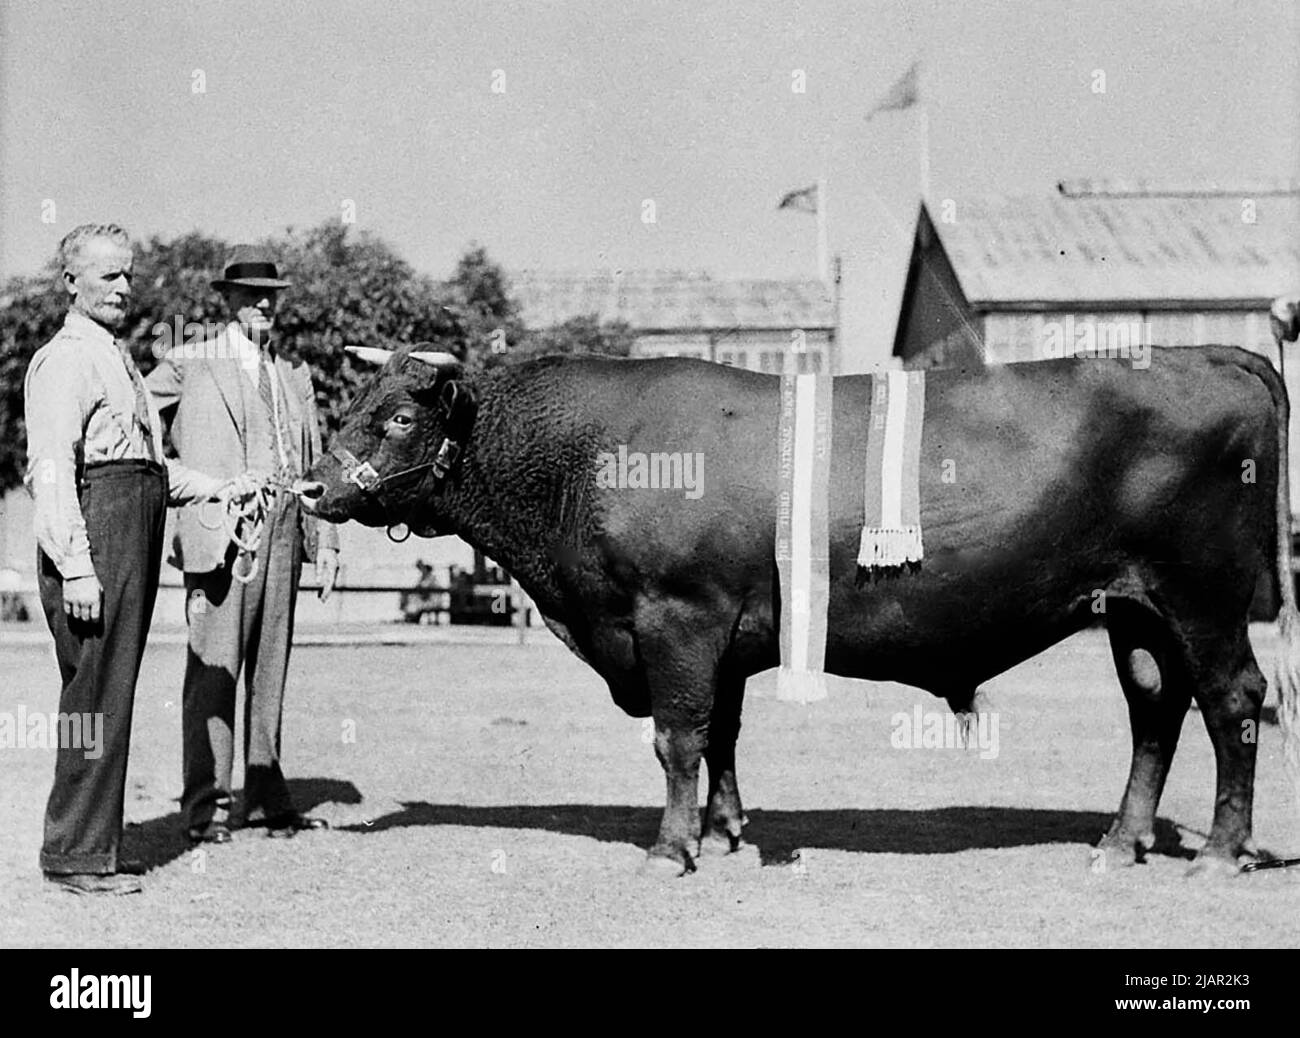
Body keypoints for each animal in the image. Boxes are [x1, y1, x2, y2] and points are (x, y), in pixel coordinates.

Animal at [301, 341, 1300, 879]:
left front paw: (672, 849)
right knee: (1155, 710)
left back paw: (1220, 852)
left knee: (1233, 702)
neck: (585, 458)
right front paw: (726, 834)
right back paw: (1120, 843)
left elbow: (678, 737)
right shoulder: (726, 633)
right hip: (1135, 610)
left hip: (1204, 600)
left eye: (398, 418)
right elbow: (723, 737)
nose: (310, 486)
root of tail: (1216, 353)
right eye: (348, 405)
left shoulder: (676, 617)